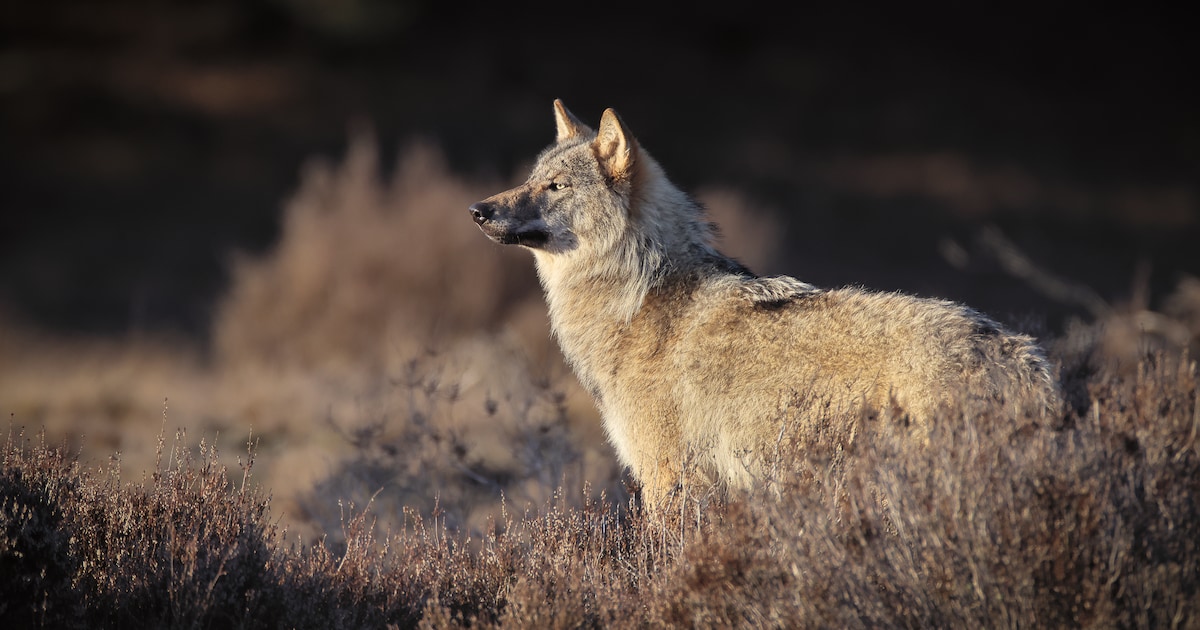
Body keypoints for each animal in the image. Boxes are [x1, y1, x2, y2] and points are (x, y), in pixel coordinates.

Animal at [469, 100, 1060, 506]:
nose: (478, 210)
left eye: (555, 186)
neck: (636, 295)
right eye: (530, 179)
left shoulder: (668, 478)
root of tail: (1020, 357)